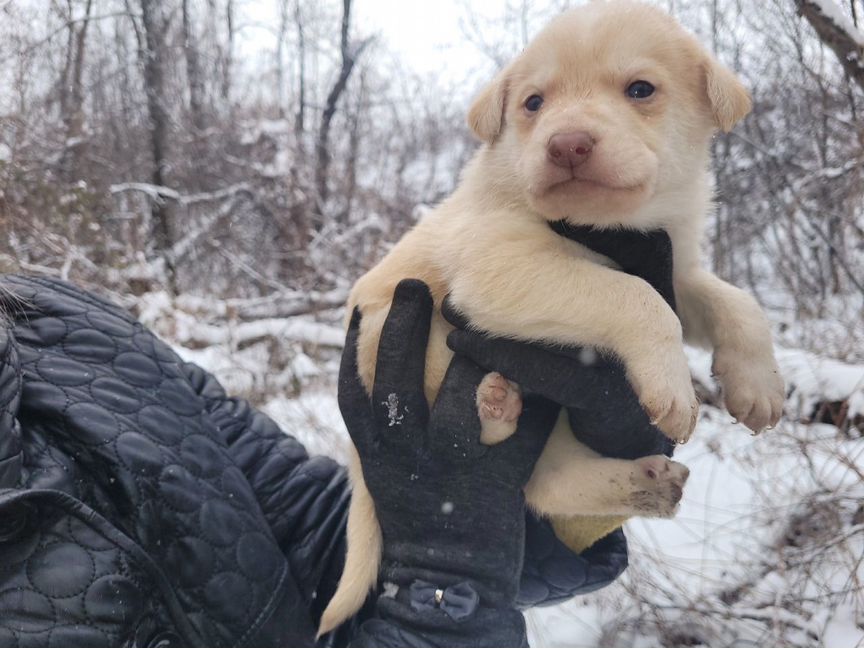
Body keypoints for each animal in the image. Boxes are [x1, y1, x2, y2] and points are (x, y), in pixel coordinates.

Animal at [318, 0, 784, 636]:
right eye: (533, 103)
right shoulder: (500, 262)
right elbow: (635, 295)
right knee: (519, 459)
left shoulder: (677, 264)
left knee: (551, 479)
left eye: (641, 89)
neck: (606, 226)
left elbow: (732, 301)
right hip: (399, 329)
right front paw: (673, 389)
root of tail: (358, 459)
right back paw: (495, 403)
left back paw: (645, 484)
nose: (567, 144)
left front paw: (758, 386)